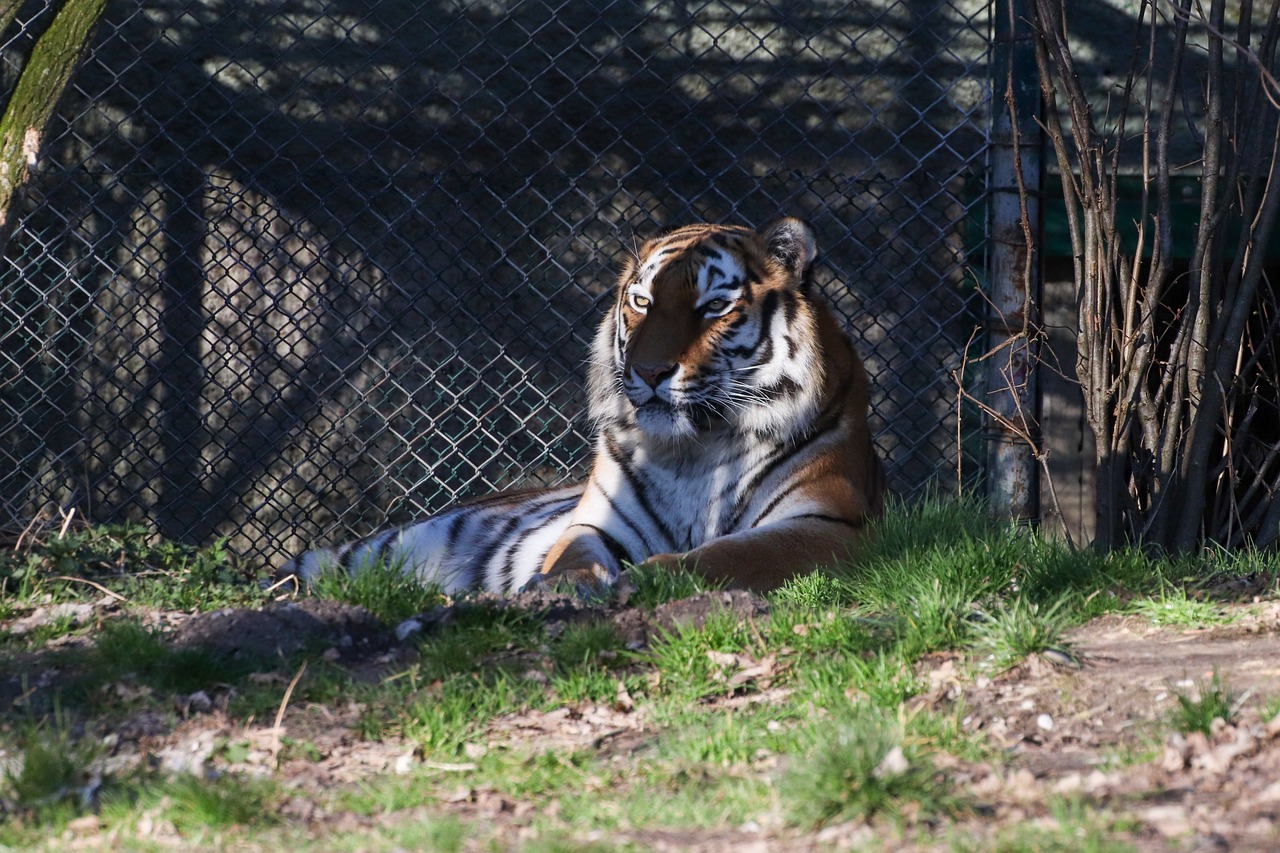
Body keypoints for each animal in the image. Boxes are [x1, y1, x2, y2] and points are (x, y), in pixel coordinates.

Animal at [288, 217, 885, 596]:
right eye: (642, 301)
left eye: (714, 307)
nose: (648, 372)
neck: (696, 449)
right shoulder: (595, 524)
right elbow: (571, 555)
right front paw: (556, 587)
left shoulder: (828, 522)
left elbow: (724, 555)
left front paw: (651, 577)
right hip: (370, 551)